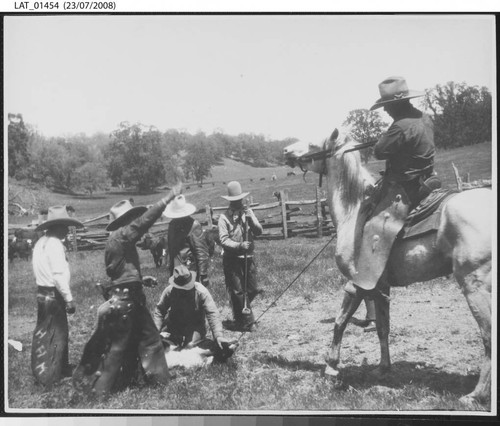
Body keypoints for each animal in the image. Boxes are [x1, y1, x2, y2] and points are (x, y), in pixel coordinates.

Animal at [284, 128, 494, 404]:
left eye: (313, 143)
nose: (286, 151)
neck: (355, 212)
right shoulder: (379, 286)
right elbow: (383, 328)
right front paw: (383, 368)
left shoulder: (356, 284)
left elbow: (340, 322)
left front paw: (331, 366)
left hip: (474, 285)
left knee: (488, 334)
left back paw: (475, 395)